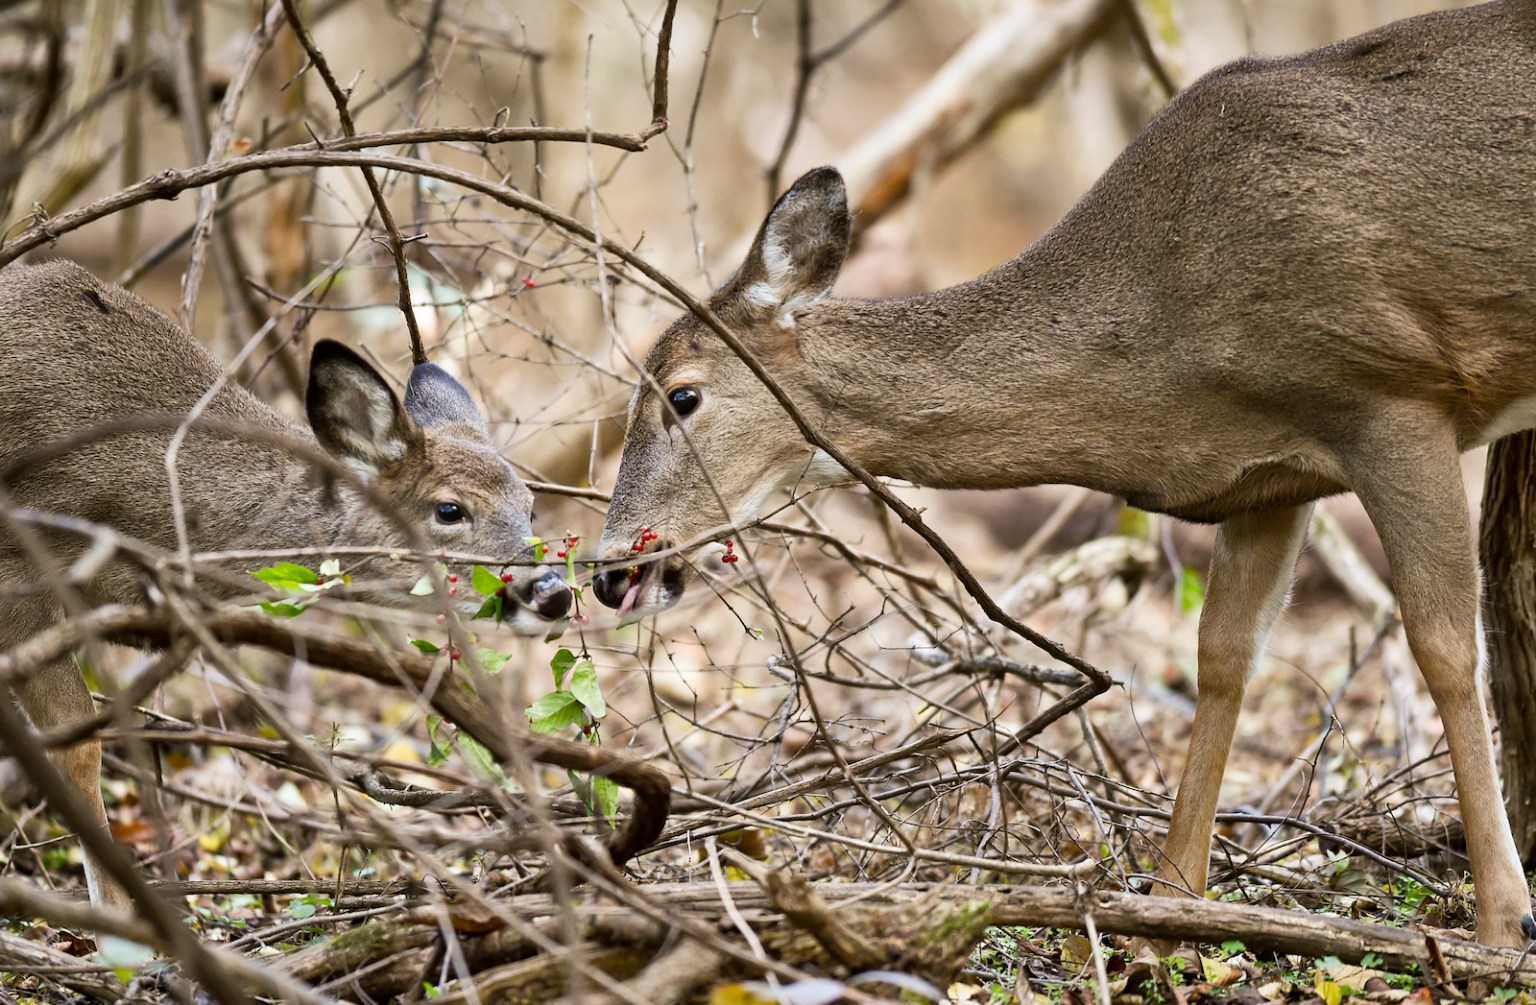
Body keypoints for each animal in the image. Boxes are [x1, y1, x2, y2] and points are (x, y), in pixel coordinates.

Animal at [0, 259, 572, 911]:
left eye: (529, 504)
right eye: (449, 510)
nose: (553, 592)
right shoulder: (18, 572)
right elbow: (76, 750)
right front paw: (125, 921)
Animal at [592, 0, 1536, 949]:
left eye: (681, 395)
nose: (606, 569)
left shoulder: (1392, 394)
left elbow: (1446, 646)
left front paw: (1503, 921)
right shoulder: (1270, 475)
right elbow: (1224, 656)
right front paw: (1171, 901)